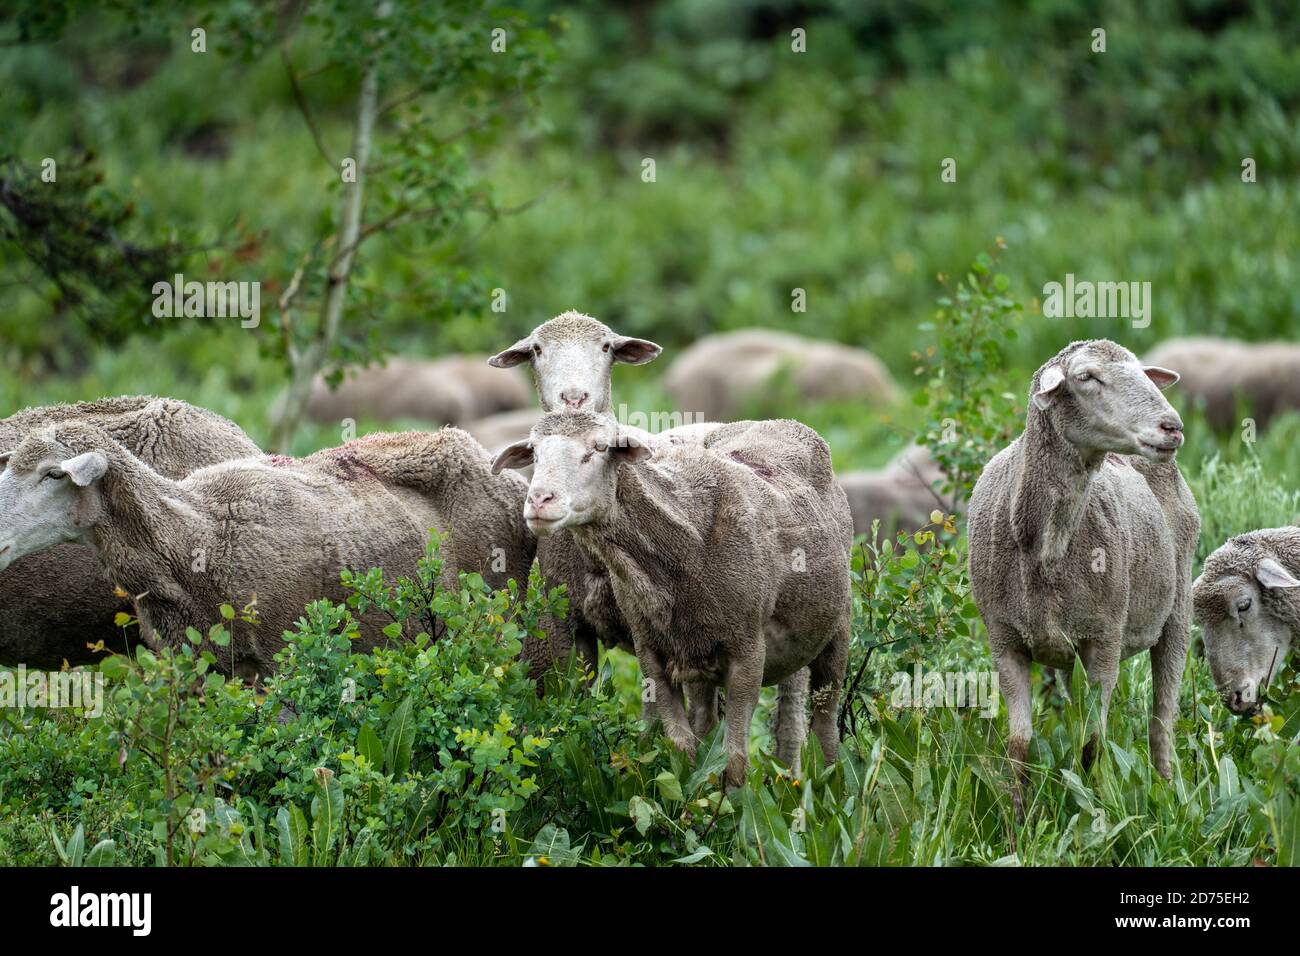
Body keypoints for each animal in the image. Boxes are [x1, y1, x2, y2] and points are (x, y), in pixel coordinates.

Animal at [492, 411, 853, 785]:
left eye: (598, 448)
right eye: (534, 453)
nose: (539, 501)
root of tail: (777, 421)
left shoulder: (748, 651)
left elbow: (734, 760)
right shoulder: (650, 649)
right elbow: (681, 746)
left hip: (837, 627)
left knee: (825, 728)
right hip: (700, 654)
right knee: (706, 722)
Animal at [967, 340, 1199, 819]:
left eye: (1141, 372)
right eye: (1087, 377)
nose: (1171, 427)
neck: (1046, 548)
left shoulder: (1105, 639)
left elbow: (1092, 744)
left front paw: (1091, 815)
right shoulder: (1005, 641)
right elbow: (1019, 746)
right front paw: (1017, 823)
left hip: (1178, 609)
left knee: (1162, 721)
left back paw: (1169, 795)